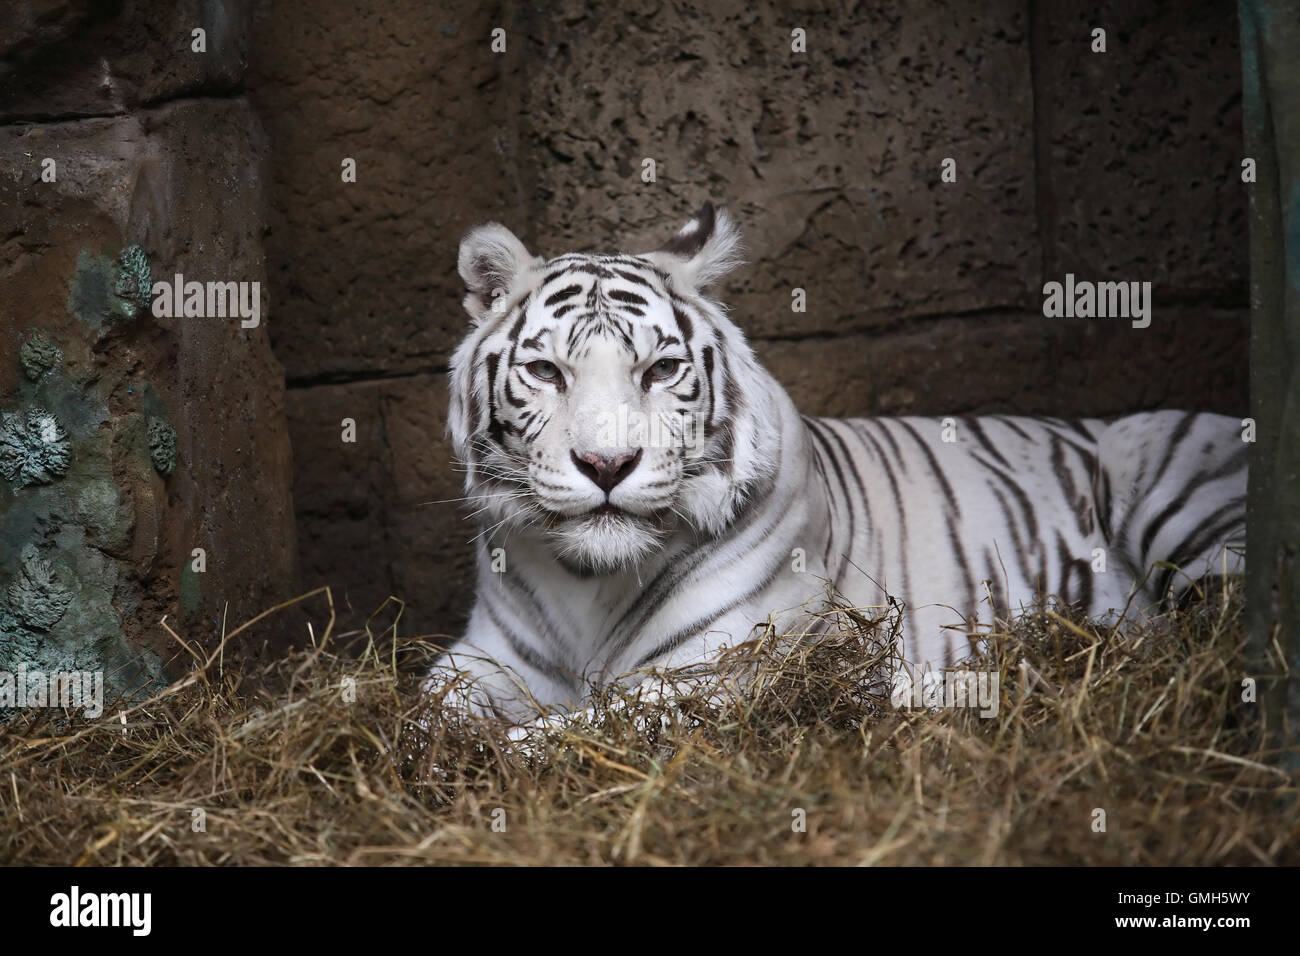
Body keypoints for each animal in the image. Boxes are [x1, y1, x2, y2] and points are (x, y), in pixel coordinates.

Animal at [428, 203, 1247, 723]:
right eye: (546, 373)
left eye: (660, 371)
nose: (607, 464)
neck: (586, 582)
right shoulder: (489, 658)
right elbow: (425, 712)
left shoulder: (709, 671)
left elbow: (554, 737)